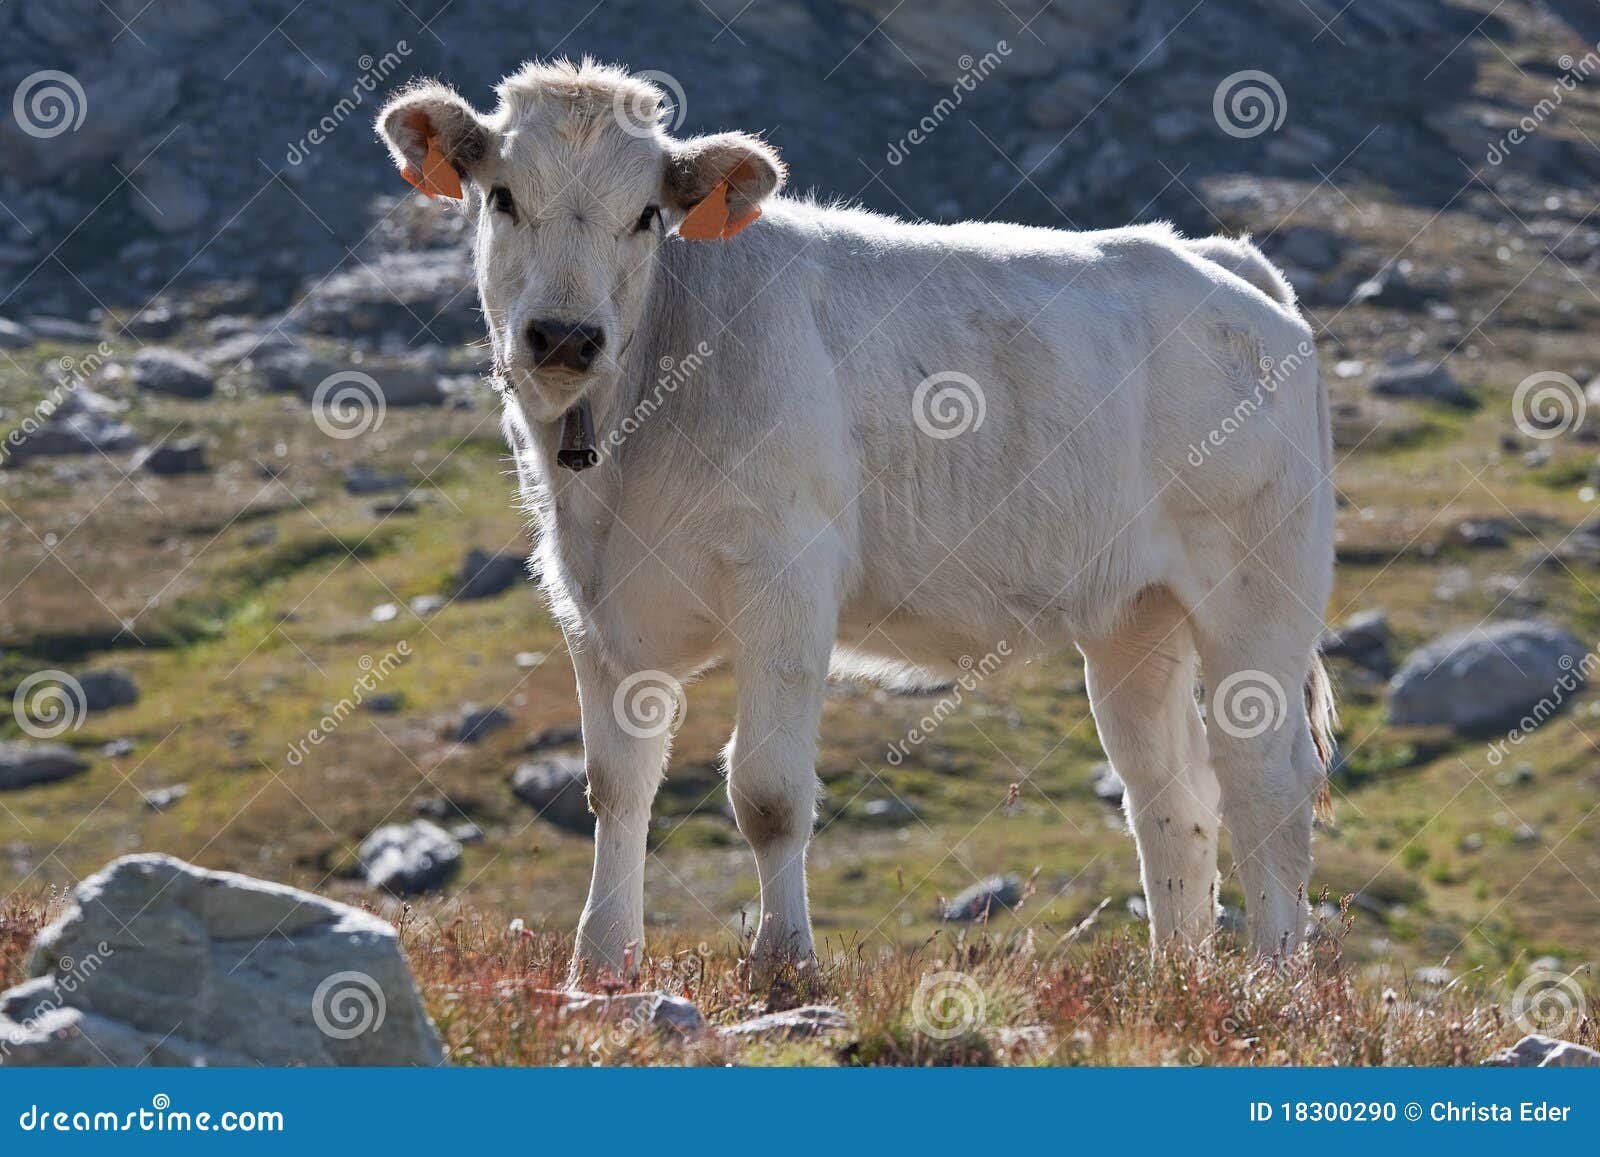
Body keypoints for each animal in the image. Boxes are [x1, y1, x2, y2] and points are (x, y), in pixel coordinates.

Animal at [377, 58, 1336, 980]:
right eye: (504, 195)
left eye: (646, 215)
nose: (566, 336)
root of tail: (1221, 262)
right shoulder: (592, 603)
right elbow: (616, 786)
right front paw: (602, 962)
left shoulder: (788, 579)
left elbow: (767, 795)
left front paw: (783, 962)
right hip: (1135, 616)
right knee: (1172, 796)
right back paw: (1180, 982)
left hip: (1256, 590)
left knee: (1267, 781)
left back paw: (1271, 987)